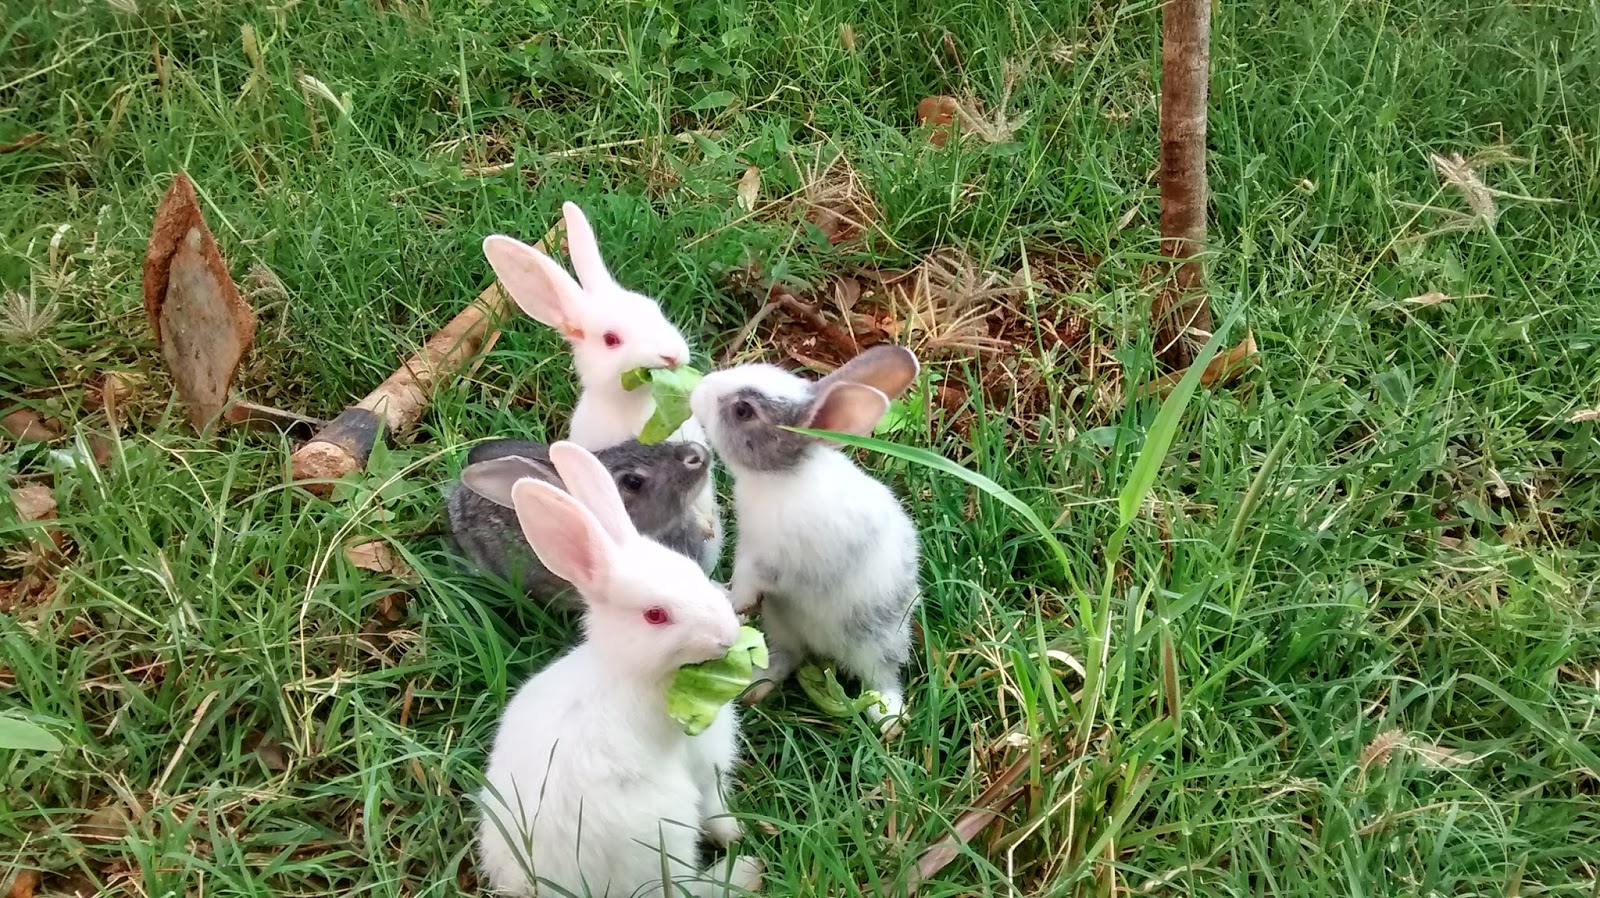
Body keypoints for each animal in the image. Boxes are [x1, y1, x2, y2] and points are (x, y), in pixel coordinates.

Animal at [476, 442, 762, 898]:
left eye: (694, 571)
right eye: (655, 615)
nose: (727, 634)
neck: (633, 673)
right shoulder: (704, 767)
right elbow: (716, 808)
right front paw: (735, 834)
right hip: (667, 829)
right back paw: (747, 871)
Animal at [688, 345, 923, 725]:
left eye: (743, 410)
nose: (699, 389)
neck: (782, 478)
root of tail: (824, 649)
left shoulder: (767, 562)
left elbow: (749, 584)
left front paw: (733, 603)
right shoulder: (750, 549)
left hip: (877, 640)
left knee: (882, 677)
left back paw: (889, 719)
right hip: (782, 624)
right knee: (786, 658)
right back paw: (754, 688)